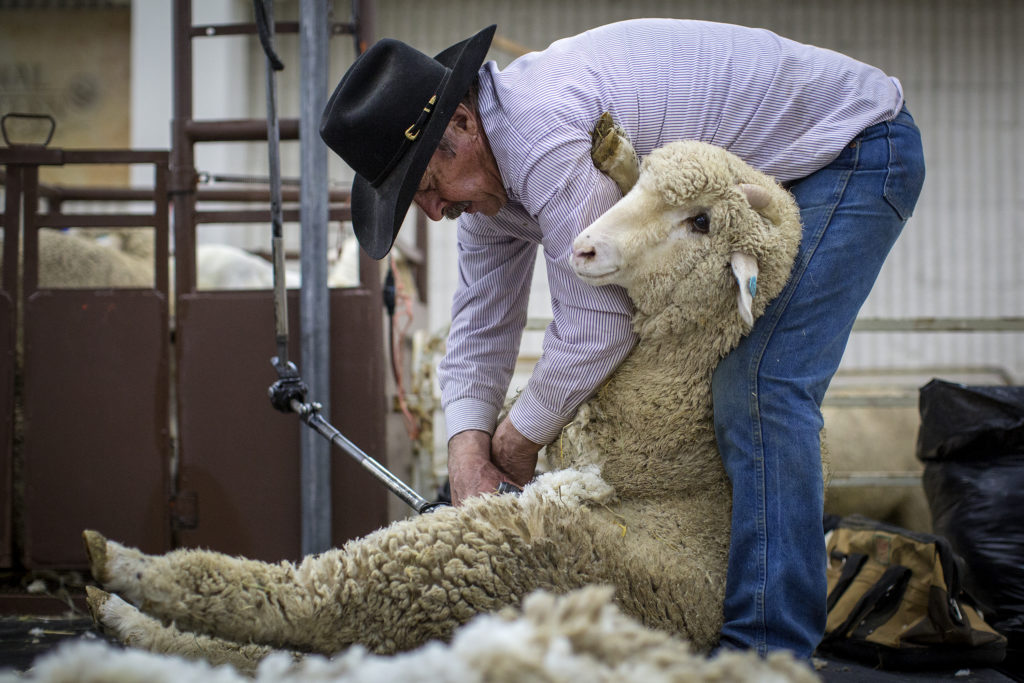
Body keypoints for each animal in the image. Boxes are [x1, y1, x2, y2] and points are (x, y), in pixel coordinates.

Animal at [79, 139, 805, 672]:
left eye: (701, 221)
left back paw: (119, 572)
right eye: (640, 184)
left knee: (299, 604)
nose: (584, 246)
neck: (669, 465)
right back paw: (113, 607)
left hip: (453, 558)